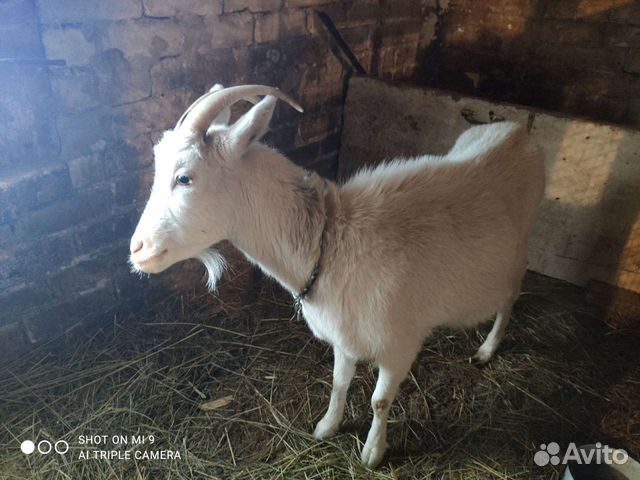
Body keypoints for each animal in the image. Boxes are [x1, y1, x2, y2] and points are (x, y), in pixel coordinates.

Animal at [130, 84, 545, 468]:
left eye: (184, 178)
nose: (137, 249)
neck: (330, 241)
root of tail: (517, 131)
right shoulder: (344, 335)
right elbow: (338, 383)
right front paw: (327, 427)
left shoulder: (399, 343)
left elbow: (380, 401)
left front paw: (373, 453)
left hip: (519, 248)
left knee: (511, 294)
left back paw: (488, 349)